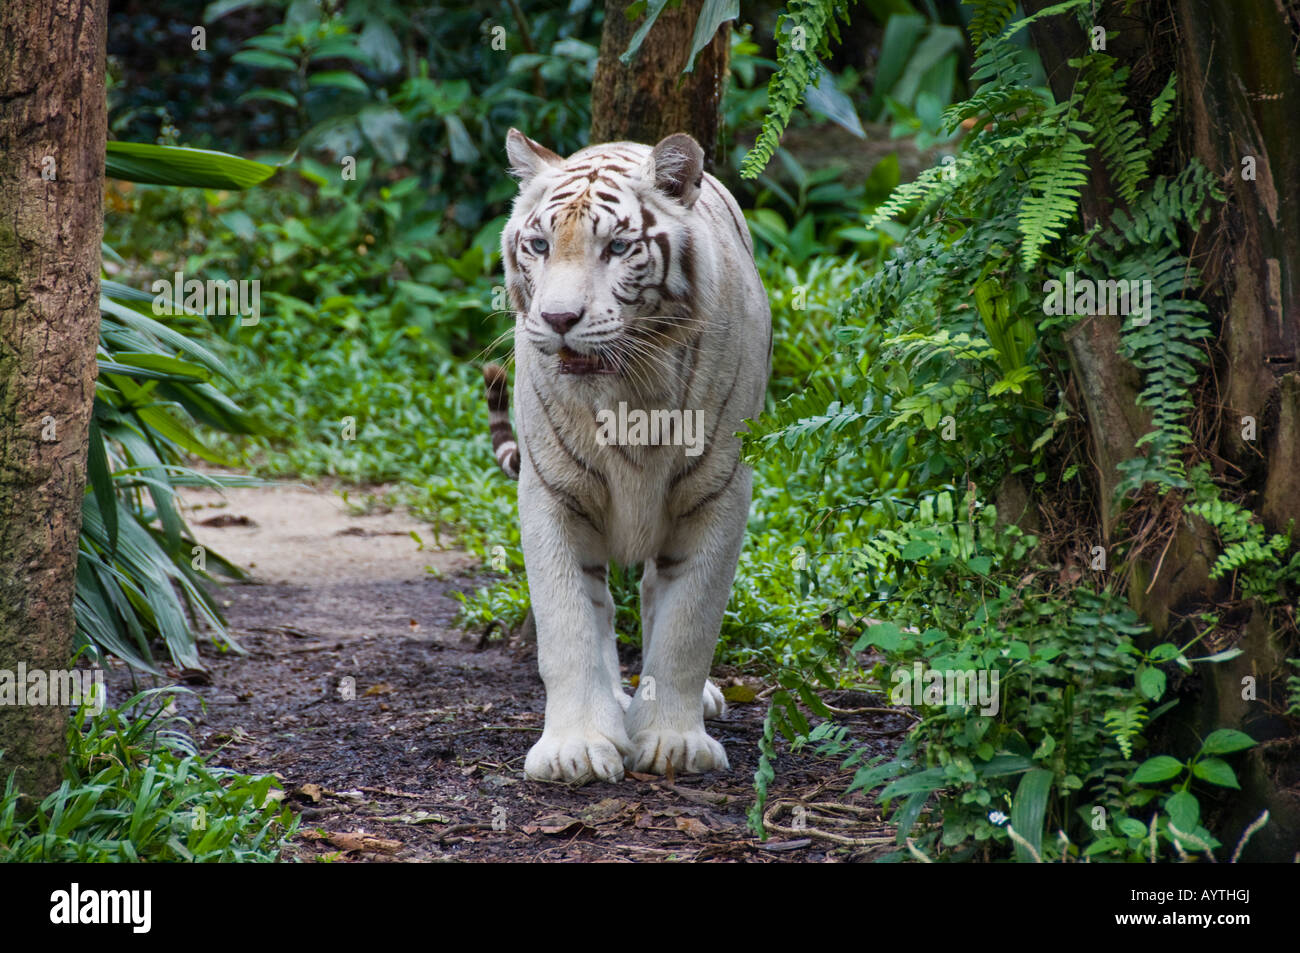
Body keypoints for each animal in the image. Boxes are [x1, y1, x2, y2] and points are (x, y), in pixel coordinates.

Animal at [482, 128, 771, 784]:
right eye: (539, 245)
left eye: (616, 247)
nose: (559, 318)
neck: (628, 393)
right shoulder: (552, 493)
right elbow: (568, 624)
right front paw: (577, 748)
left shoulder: (719, 491)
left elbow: (689, 622)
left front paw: (672, 742)